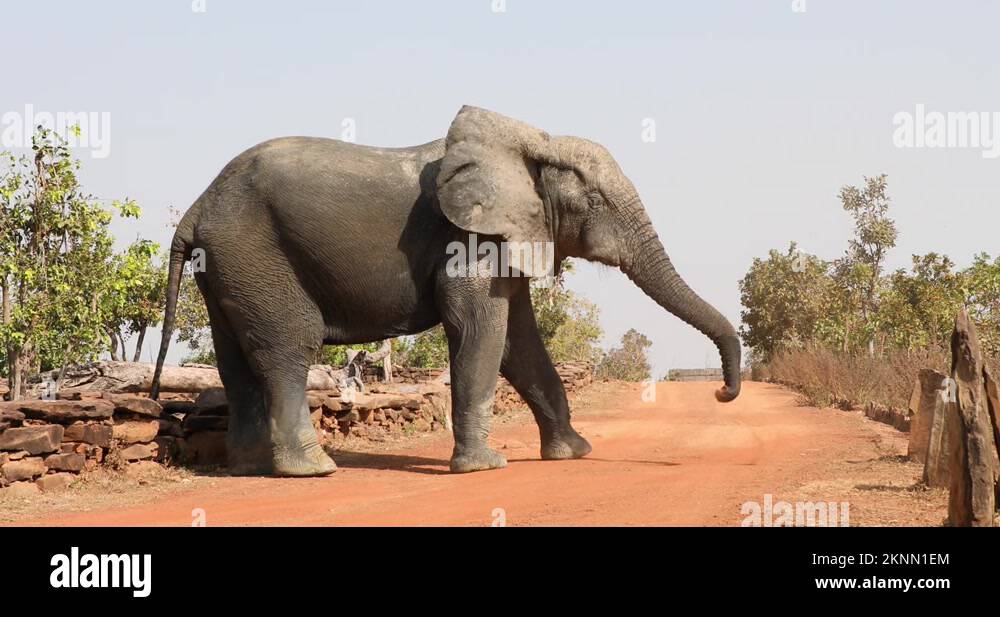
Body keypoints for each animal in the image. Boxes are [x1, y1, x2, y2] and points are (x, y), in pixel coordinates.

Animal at [151, 106, 742, 477]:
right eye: (597, 201)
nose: (721, 393)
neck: (531, 142)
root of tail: (199, 206)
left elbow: (519, 340)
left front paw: (573, 454)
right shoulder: (469, 240)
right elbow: (481, 329)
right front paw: (484, 468)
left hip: (228, 263)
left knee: (234, 357)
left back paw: (251, 469)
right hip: (257, 253)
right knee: (289, 347)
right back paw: (313, 470)